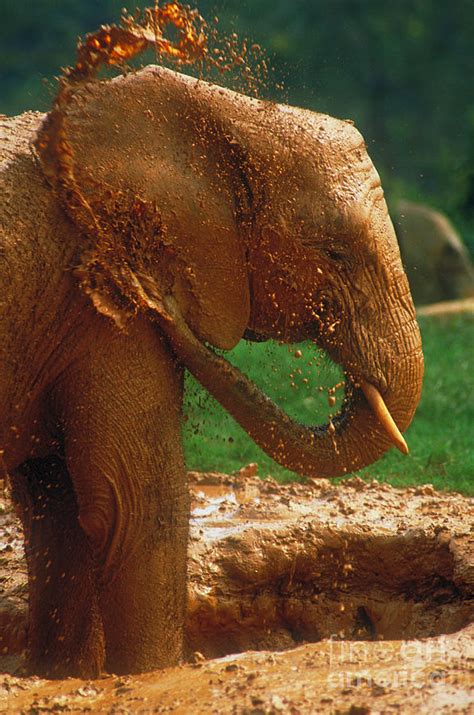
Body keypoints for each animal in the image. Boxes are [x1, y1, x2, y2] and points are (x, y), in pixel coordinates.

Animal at [0, 20, 423, 678]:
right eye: (333, 254)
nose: (161, 301)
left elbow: (60, 514)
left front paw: (60, 676)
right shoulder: (104, 301)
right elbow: (137, 507)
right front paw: (150, 676)